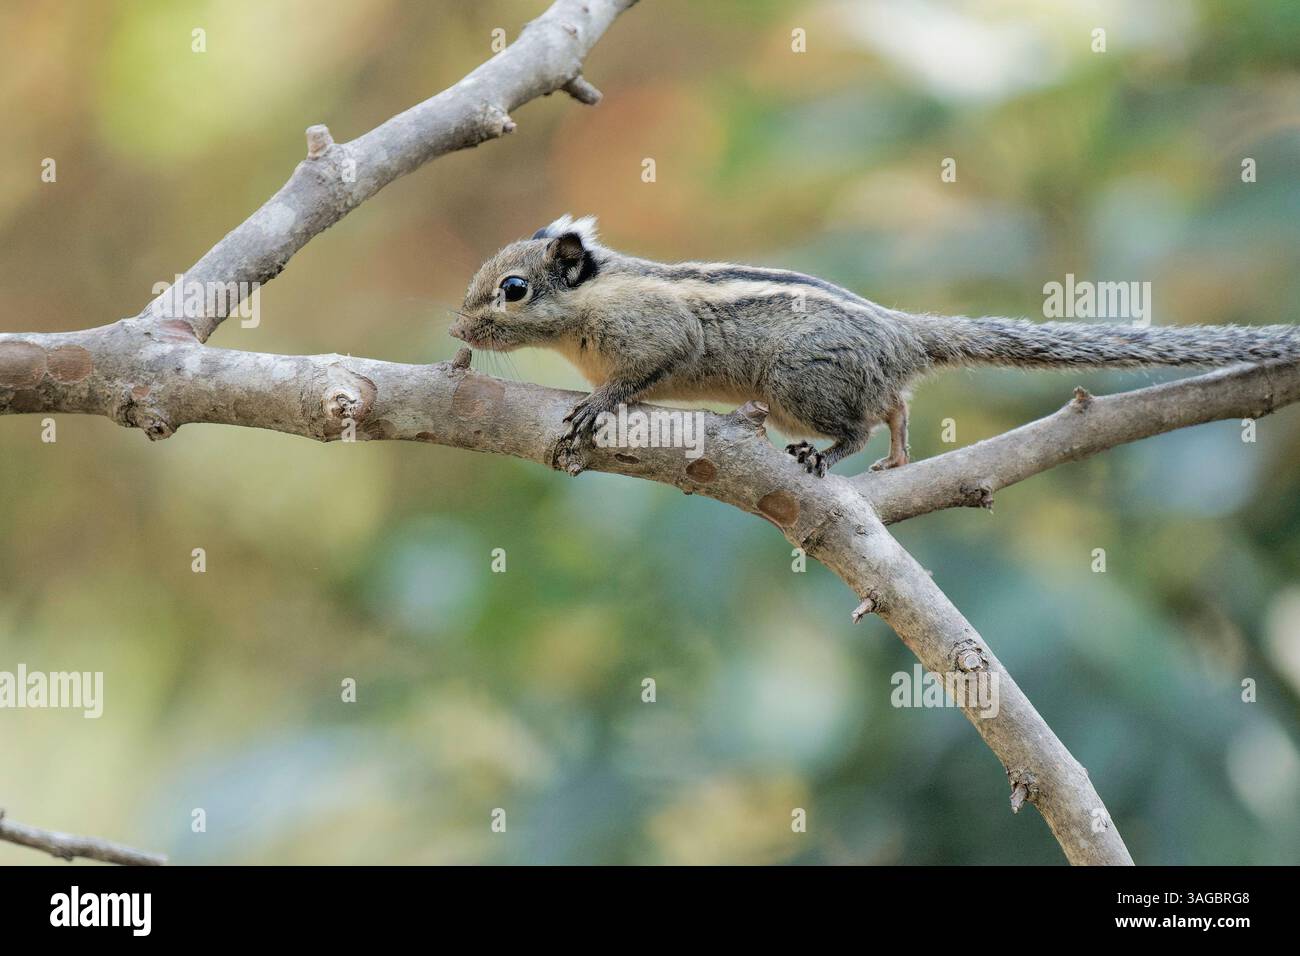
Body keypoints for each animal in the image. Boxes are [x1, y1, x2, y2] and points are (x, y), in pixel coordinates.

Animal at [451, 215, 1300, 476]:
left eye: (513, 289)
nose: (456, 331)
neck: (593, 298)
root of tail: (899, 333)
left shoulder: (655, 333)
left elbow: (643, 372)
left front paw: (598, 403)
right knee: (894, 406)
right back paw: (896, 455)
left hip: (795, 386)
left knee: (858, 421)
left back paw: (834, 455)